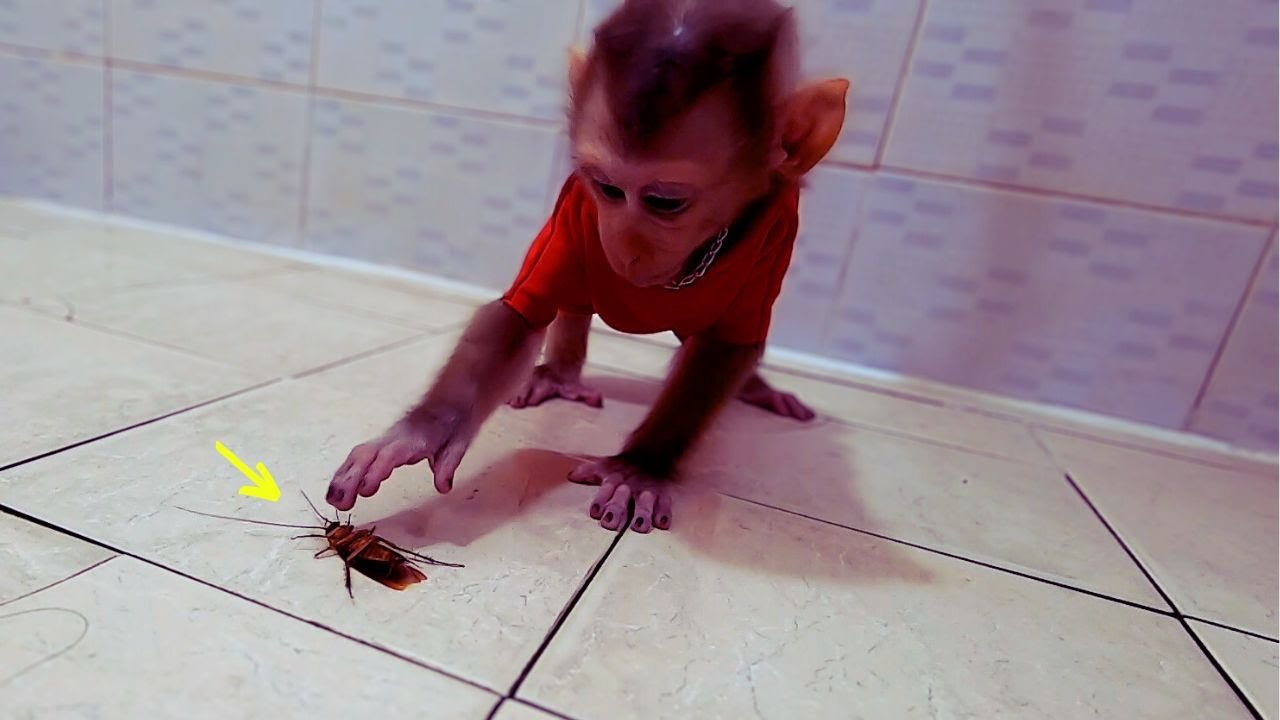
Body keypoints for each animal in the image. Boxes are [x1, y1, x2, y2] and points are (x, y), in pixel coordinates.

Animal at [326, 0, 849, 535]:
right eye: (609, 189)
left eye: (665, 202)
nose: (624, 245)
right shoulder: (576, 214)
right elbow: (518, 317)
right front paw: (424, 430)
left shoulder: (773, 235)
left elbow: (725, 349)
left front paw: (640, 468)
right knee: (575, 301)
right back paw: (558, 374)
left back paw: (758, 390)